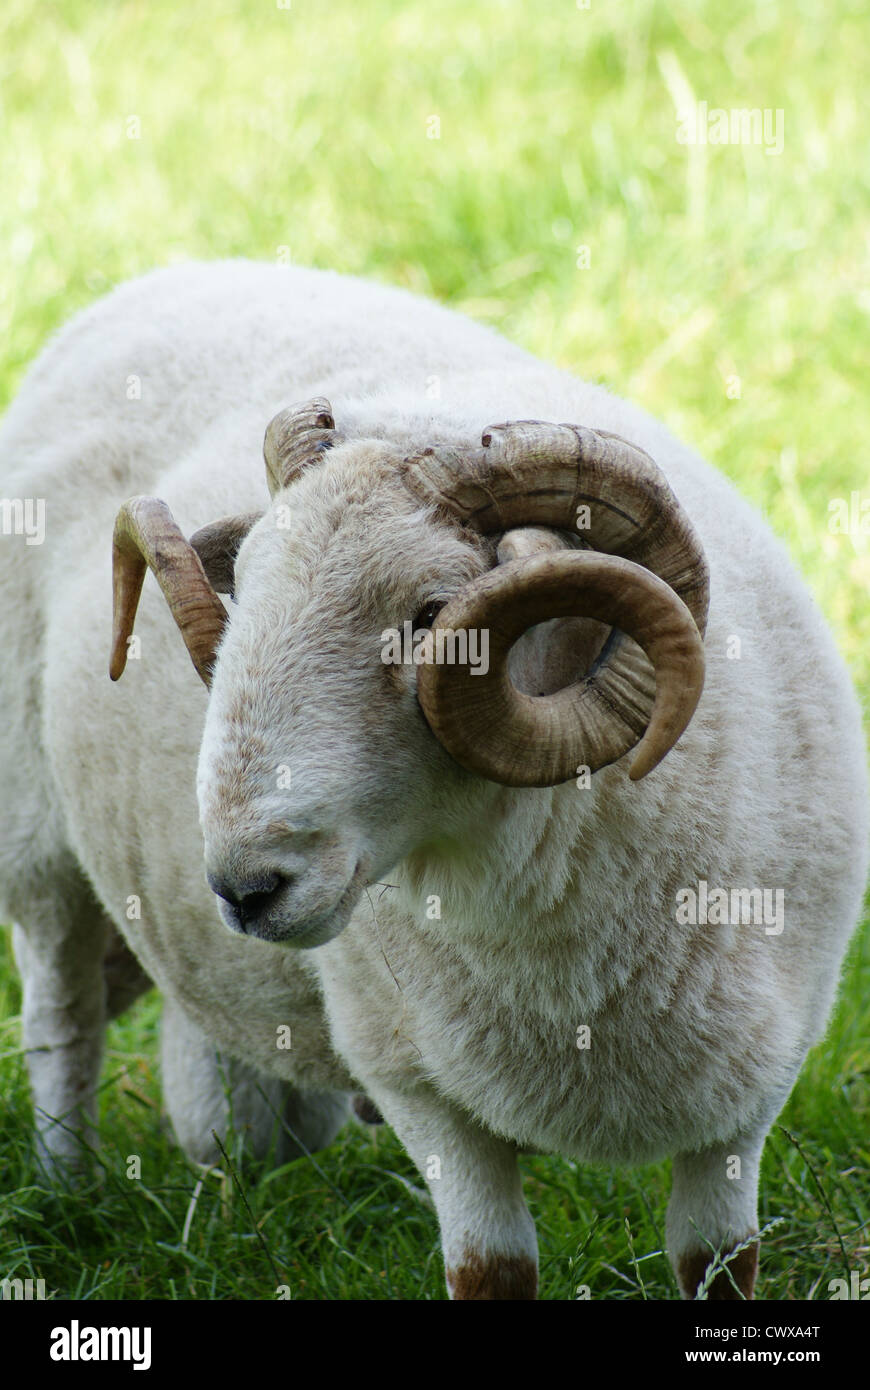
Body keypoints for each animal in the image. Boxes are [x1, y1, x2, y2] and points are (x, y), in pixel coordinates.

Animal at [0, 259, 867, 1301]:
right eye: (243, 591)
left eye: (428, 615)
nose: (246, 888)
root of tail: (172, 271)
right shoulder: (419, 1084)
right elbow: (490, 1271)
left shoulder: (752, 1093)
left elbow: (718, 1263)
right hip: (36, 845)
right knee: (64, 1021)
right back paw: (69, 1190)